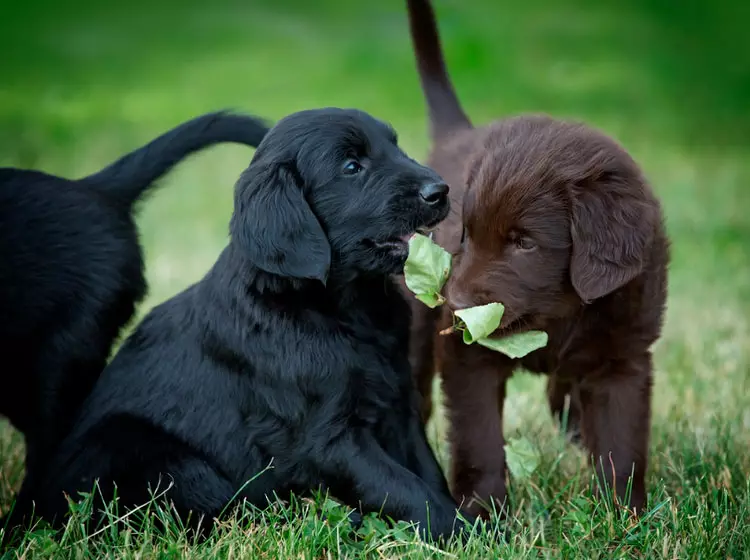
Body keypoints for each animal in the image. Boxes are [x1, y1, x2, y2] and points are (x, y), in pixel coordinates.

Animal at [402, 0, 672, 520]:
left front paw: (623, 516)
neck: (560, 315)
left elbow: (621, 441)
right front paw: (481, 511)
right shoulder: (469, 356)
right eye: (466, 235)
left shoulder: (624, 354)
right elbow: (479, 437)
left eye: (524, 243)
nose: (455, 305)